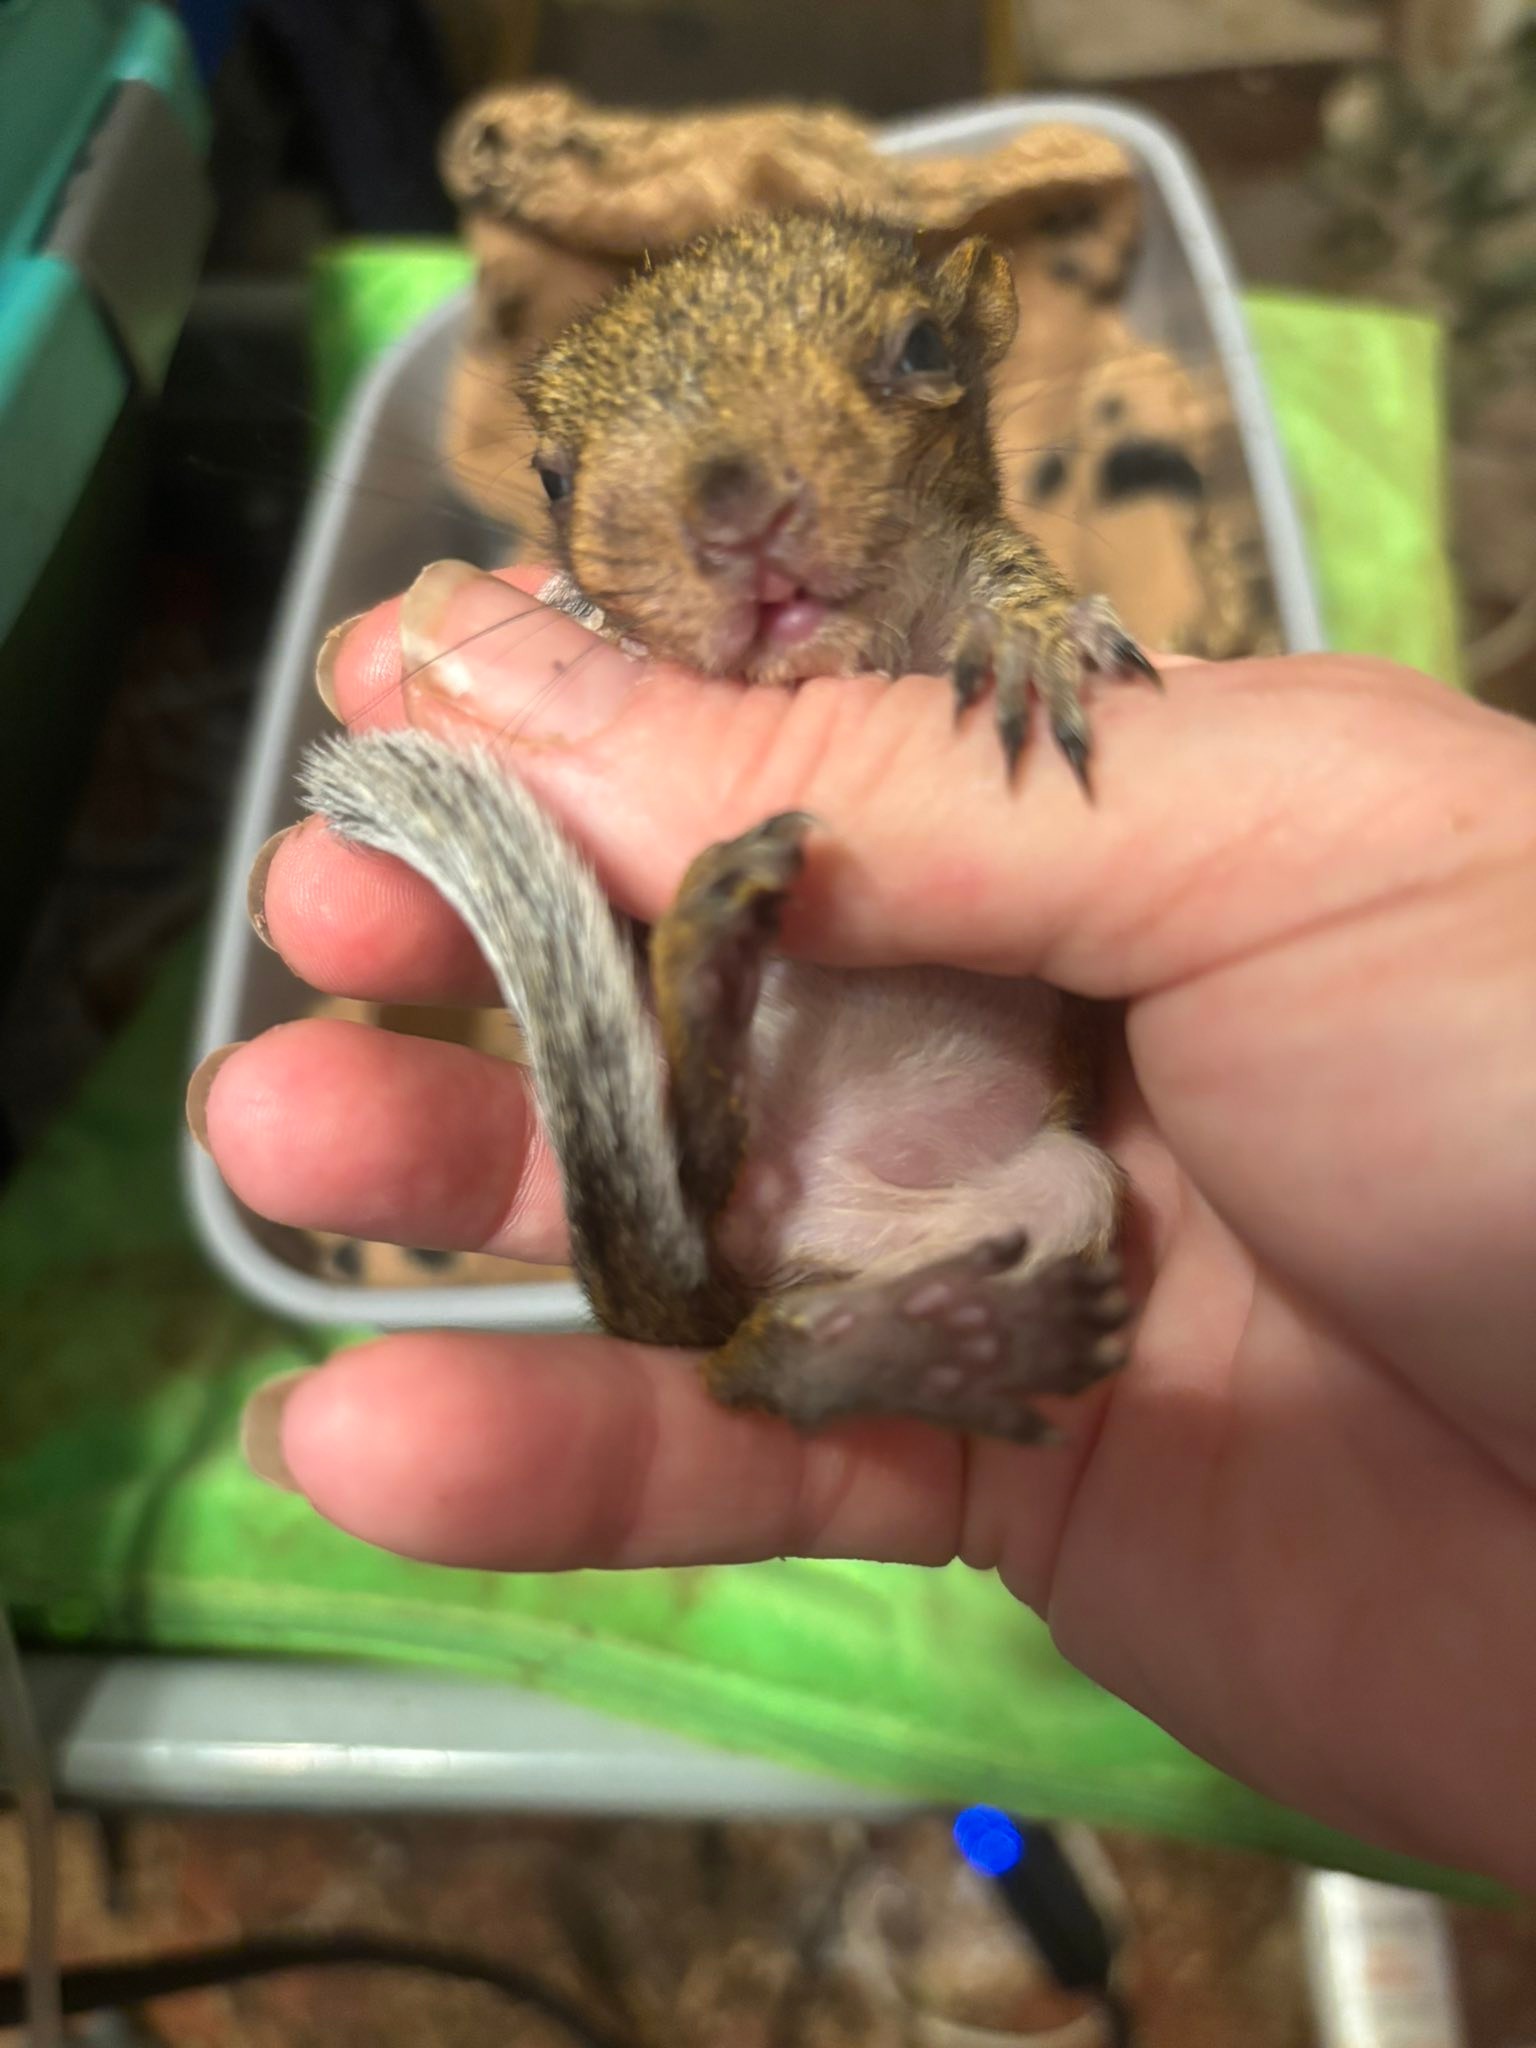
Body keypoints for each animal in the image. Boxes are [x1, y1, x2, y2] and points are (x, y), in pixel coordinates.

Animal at [300, 211, 1158, 1443]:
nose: (736, 510)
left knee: (777, 1325)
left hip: (1046, 1194)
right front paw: (579, 623)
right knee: (721, 1250)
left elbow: (1016, 595)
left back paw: (925, 1344)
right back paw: (707, 970)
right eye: (552, 478)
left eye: (922, 347)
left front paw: (1033, 645)